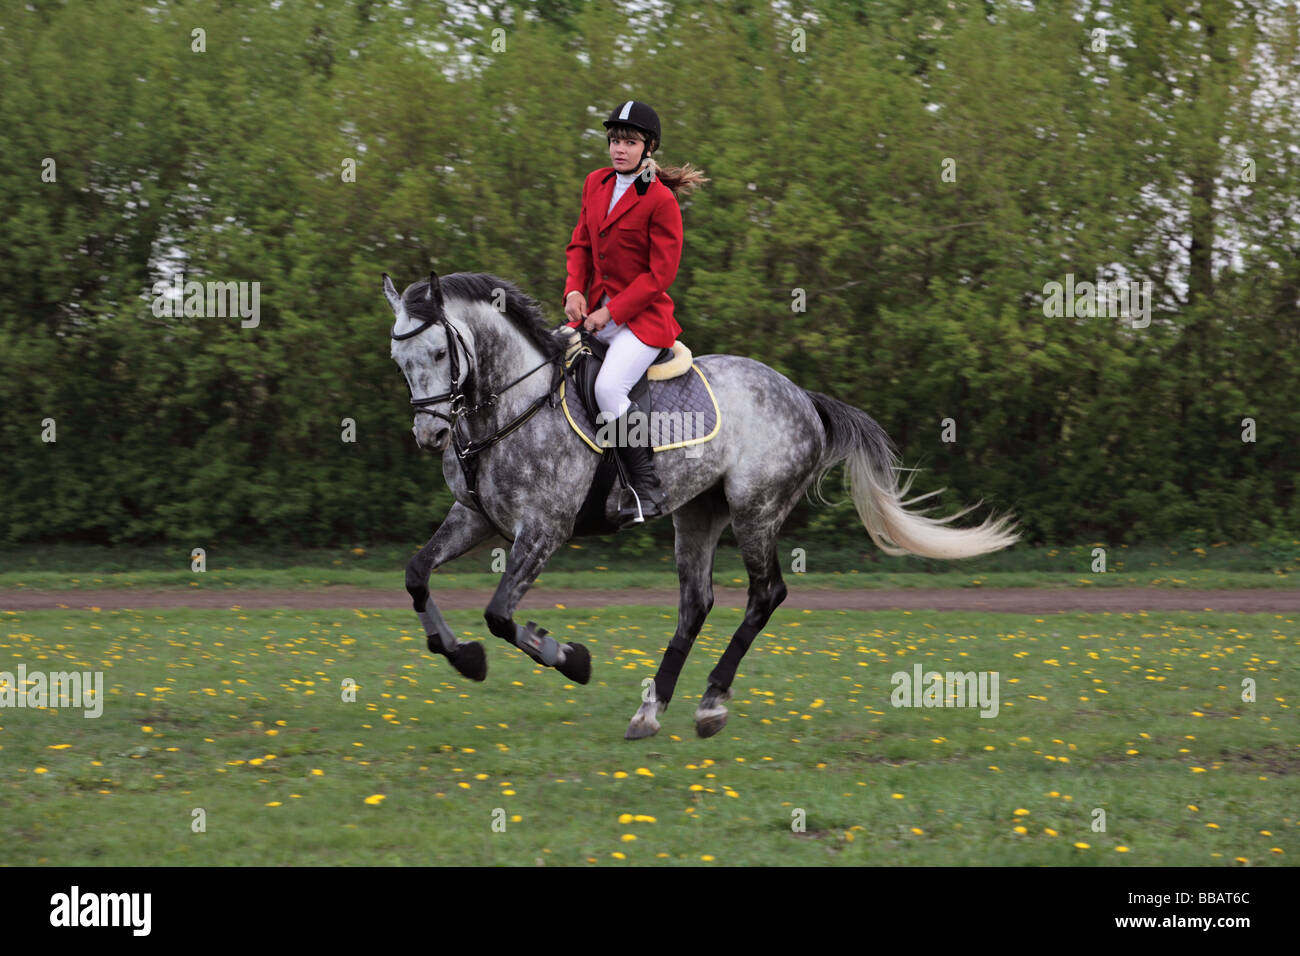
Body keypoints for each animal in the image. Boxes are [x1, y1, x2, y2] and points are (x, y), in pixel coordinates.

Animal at [384, 270, 1019, 739]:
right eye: (400, 362)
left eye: (438, 352)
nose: (430, 436)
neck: (512, 405)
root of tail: (801, 395)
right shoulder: (476, 518)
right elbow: (417, 574)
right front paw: (460, 654)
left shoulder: (544, 529)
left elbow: (500, 614)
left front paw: (568, 656)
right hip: (698, 513)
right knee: (696, 603)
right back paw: (651, 710)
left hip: (755, 509)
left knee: (765, 595)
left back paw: (712, 702)